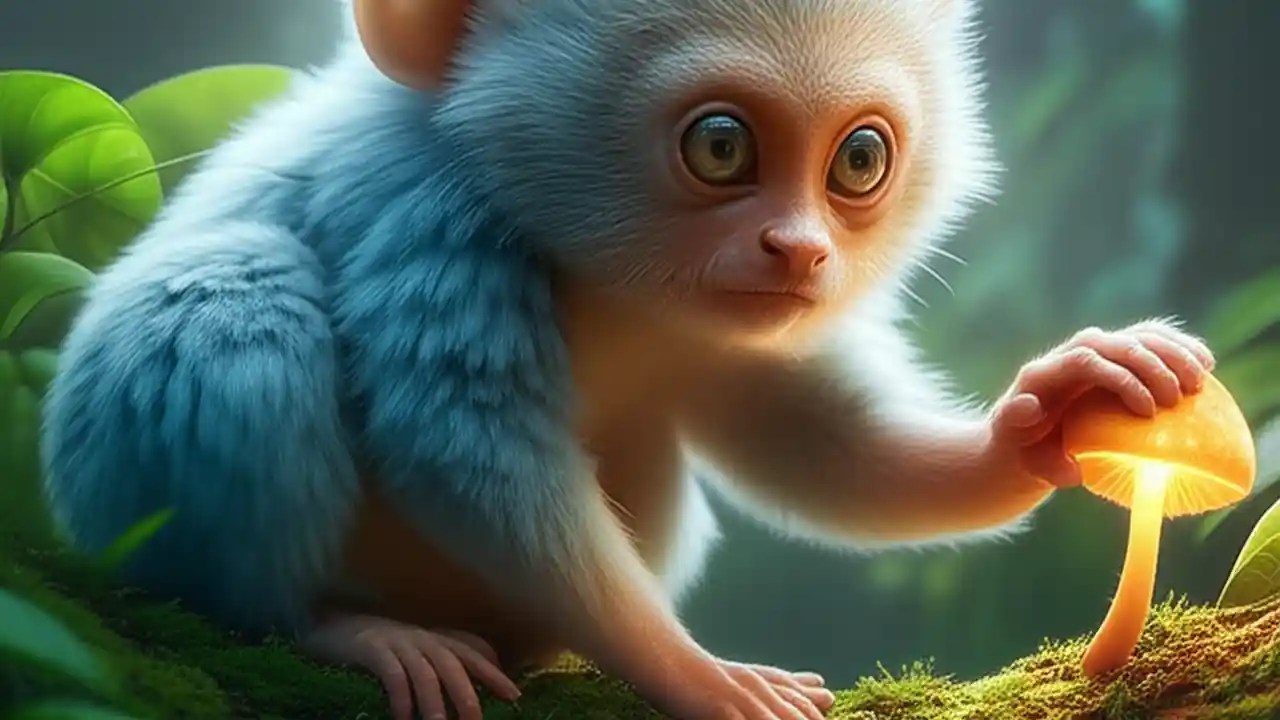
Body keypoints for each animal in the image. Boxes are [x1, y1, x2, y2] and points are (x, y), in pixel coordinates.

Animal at [38, 0, 1218, 719]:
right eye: (720, 146)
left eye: (859, 160)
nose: (800, 249)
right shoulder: (425, 213)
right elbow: (460, 448)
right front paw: (696, 676)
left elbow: (808, 438)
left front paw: (1050, 414)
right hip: (118, 503)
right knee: (236, 300)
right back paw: (337, 629)